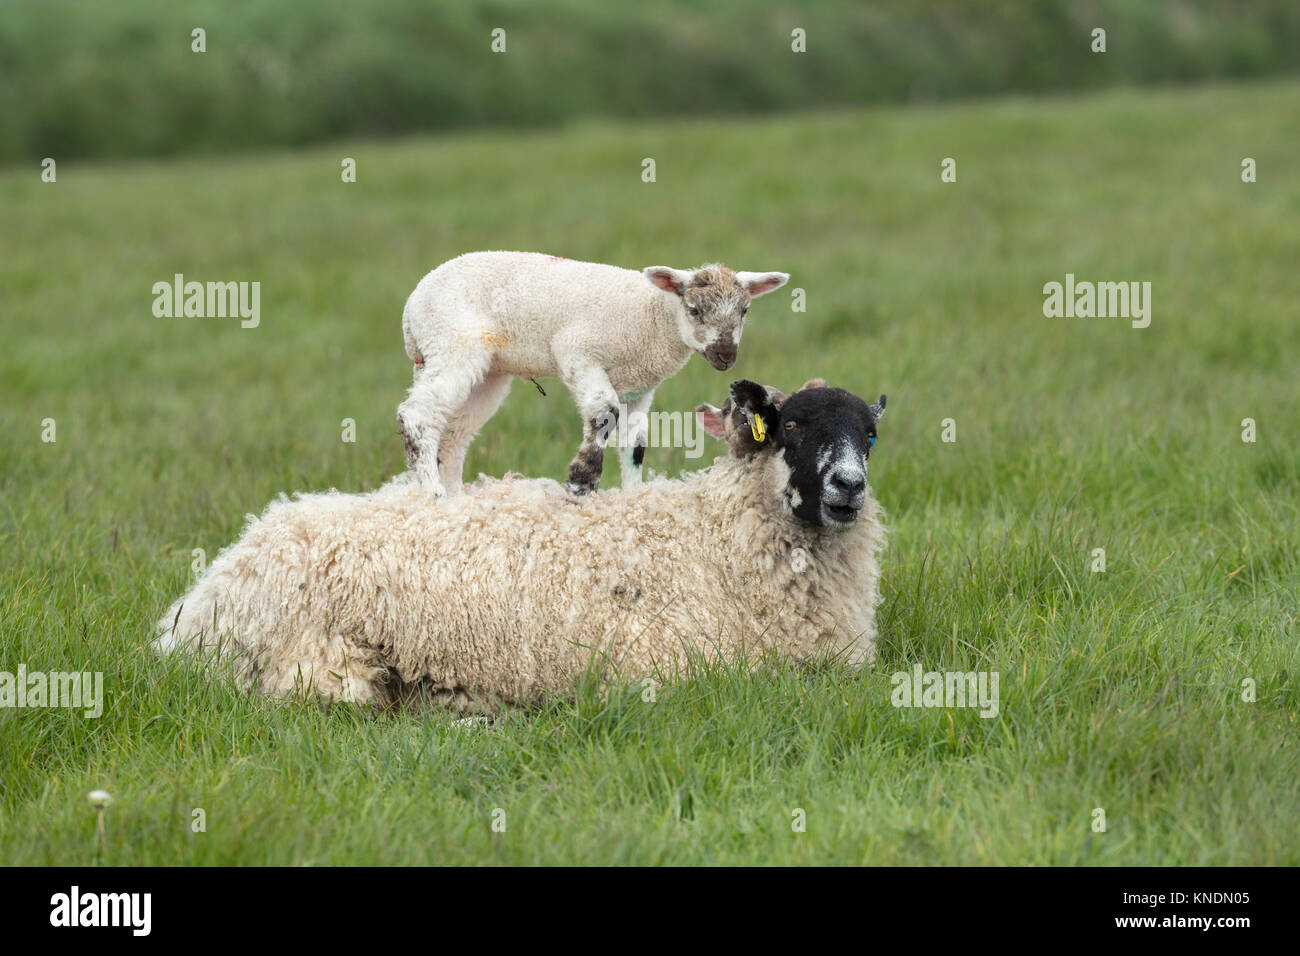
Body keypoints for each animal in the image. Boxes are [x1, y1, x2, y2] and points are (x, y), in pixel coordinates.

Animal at [157, 379, 887, 714]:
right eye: (791, 427)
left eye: (871, 436)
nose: (849, 487)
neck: (715, 538)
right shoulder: (657, 665)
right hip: (322, 668)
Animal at [396, 251, 789, 497]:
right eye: (693, 310)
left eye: (745, 310)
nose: (726, 356)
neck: (651, 316)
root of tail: (411, 306)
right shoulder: (578, 353)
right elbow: (604, 414)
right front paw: (581, 482)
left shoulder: (639, 388)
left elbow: (635, 444)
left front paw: (632, 496)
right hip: (452, 343)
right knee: (417, 416)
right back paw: (433, 494)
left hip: (482, 370)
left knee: (453, 437)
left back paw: (454, 499)